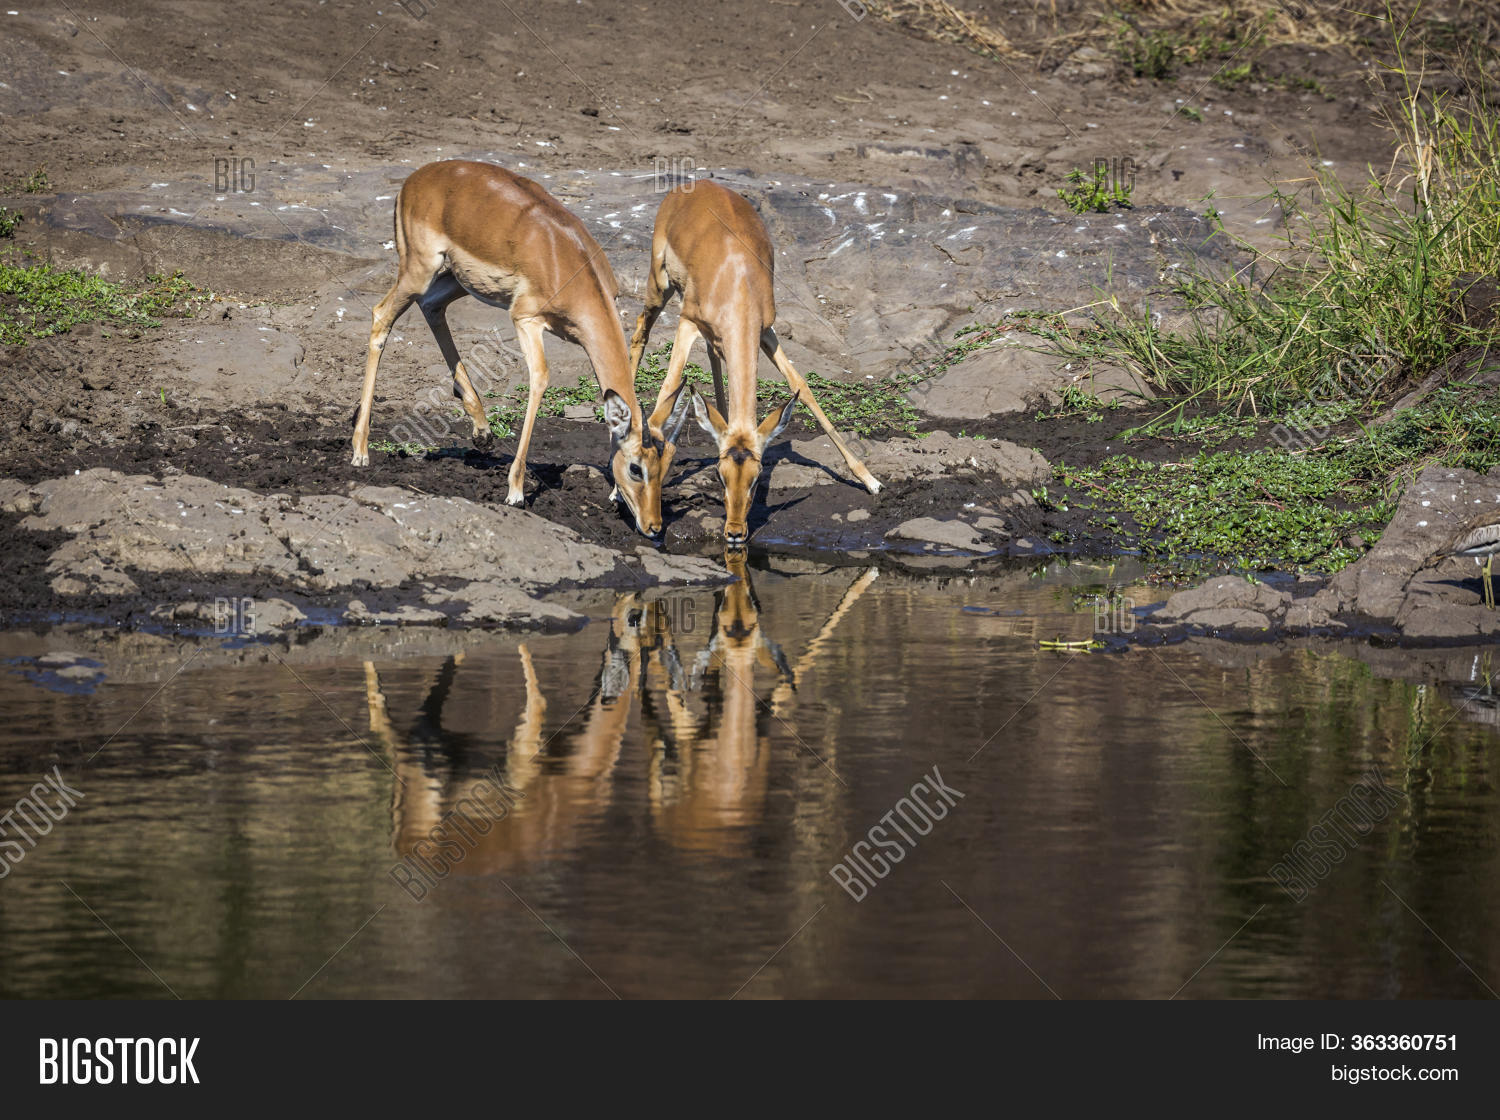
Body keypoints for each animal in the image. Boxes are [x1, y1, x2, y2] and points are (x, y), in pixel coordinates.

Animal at [353, 160, 689, 539]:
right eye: (635, 468)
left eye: (666, 464)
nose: (653, 526)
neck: (570, 265)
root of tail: (415, 179)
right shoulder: (525, 320)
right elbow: (541, 378)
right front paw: (515, 492)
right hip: (419, 270)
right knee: (381, 315)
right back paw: (360, 451)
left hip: (458, 280)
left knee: (431, 306)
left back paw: (481, 431)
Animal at [628, 181, 881, 545]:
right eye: (720, 476)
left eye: (757, 477)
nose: (734, 532)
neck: (737, 280)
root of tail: (694, 185)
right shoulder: (688, 321)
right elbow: (668, 387)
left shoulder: (764, 331)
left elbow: (801, 385)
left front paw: (869, 479)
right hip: (659, 285)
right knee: (639, 331)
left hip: (714, 332)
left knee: (714, 359)